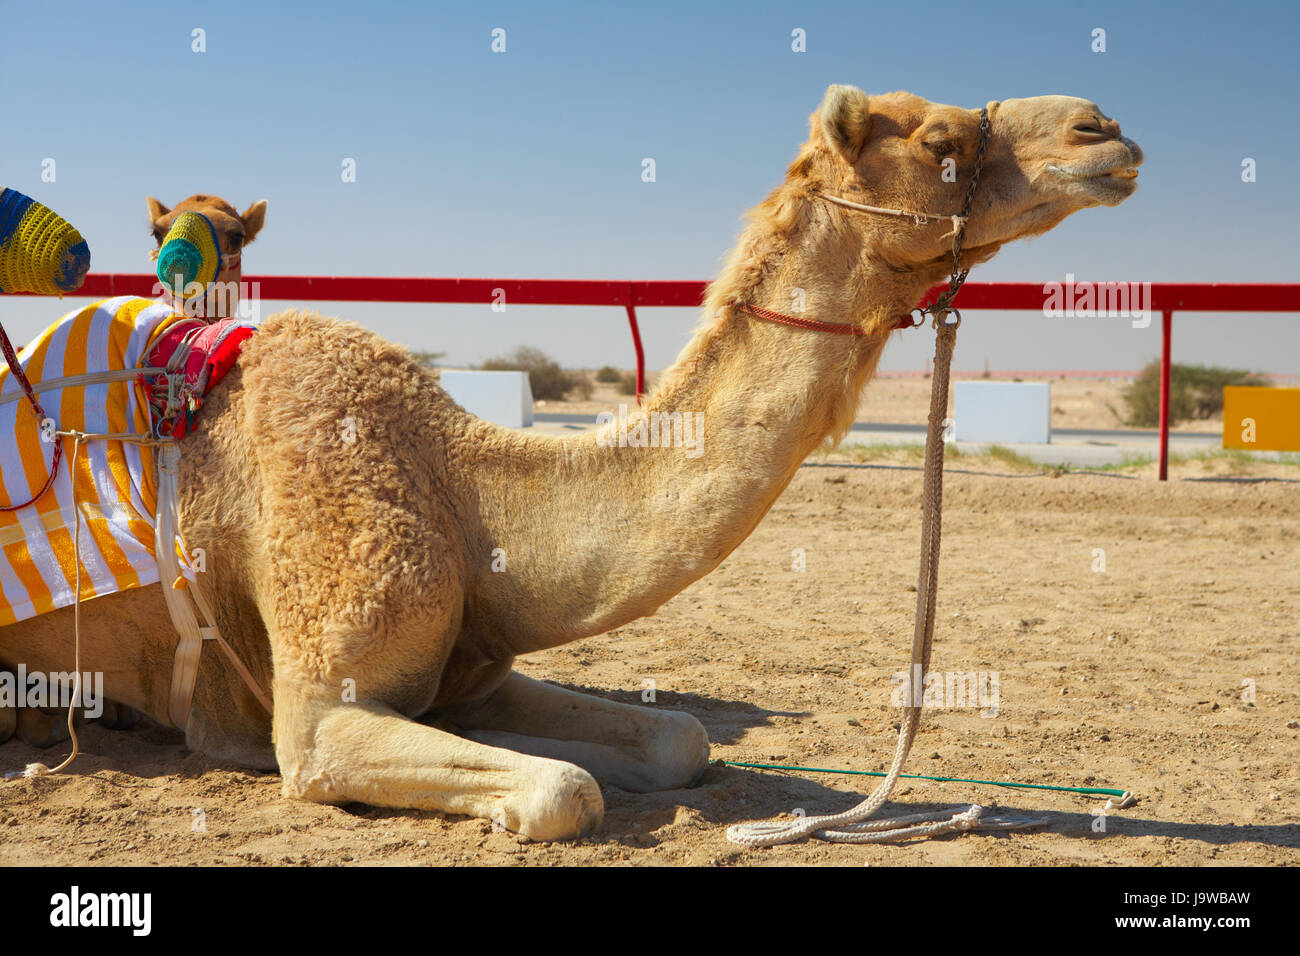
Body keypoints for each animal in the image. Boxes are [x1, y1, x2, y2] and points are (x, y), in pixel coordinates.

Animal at [0, 87, 1142, 840]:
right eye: (942, 139)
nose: (1105, 128)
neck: (465, 491)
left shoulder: (479, 669)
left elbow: (677, 740)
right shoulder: (319, 713)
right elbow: (559, 789)